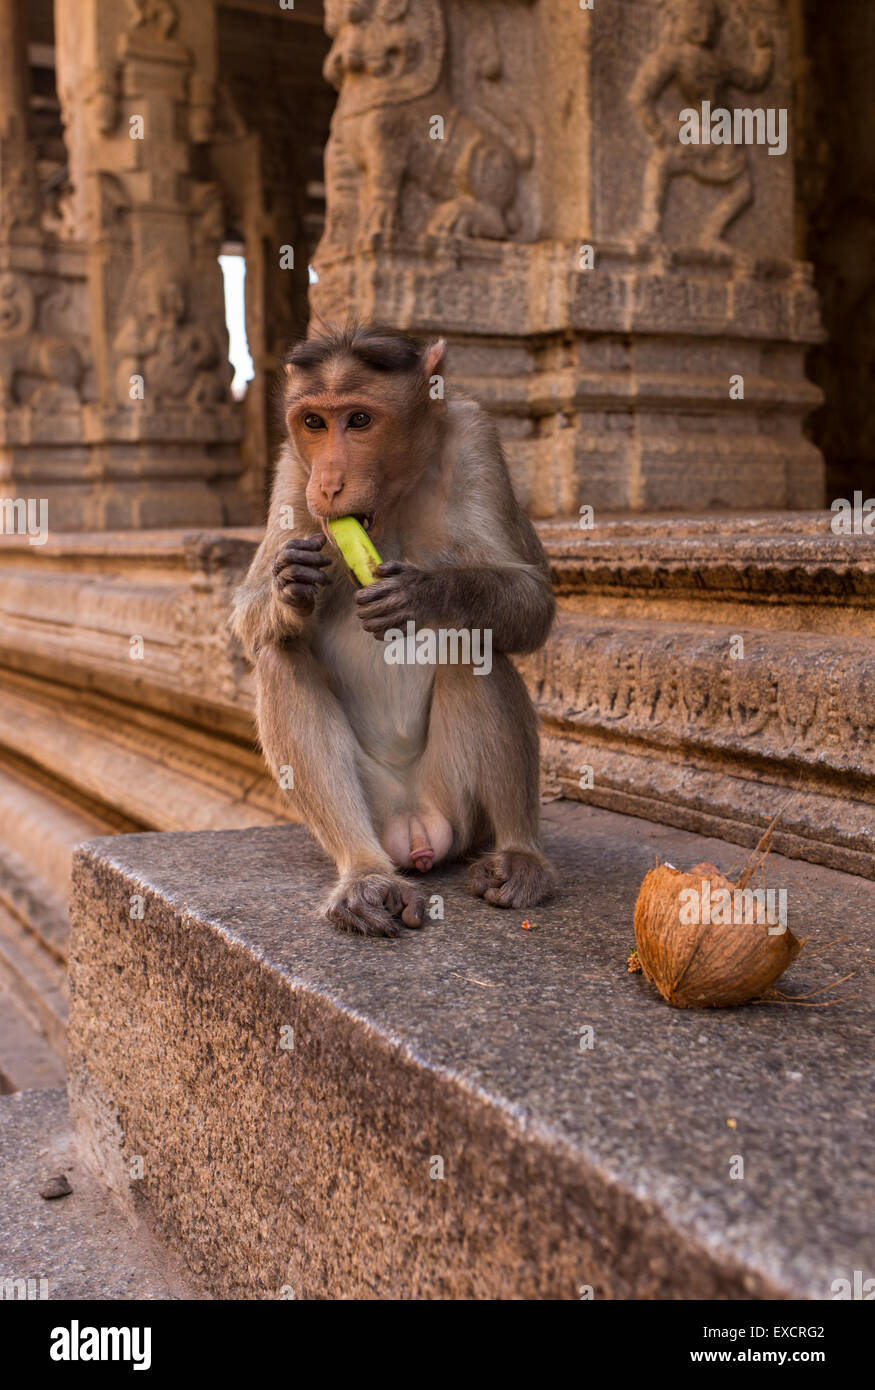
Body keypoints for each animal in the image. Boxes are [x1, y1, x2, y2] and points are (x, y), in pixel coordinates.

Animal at [231, 323, 556, 937]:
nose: (328, 486)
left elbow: (533, 603)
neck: (395, 498)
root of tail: (416, 831)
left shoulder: (476, 437)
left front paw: (423, 593)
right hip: (376, 806)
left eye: (359, 420)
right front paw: (289, 587)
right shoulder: (292, 468)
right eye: (315, 423)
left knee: (477, 641)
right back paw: (365, 874)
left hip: (457, 804)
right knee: (280, 655)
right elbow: (247, 616)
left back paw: (519, 855)